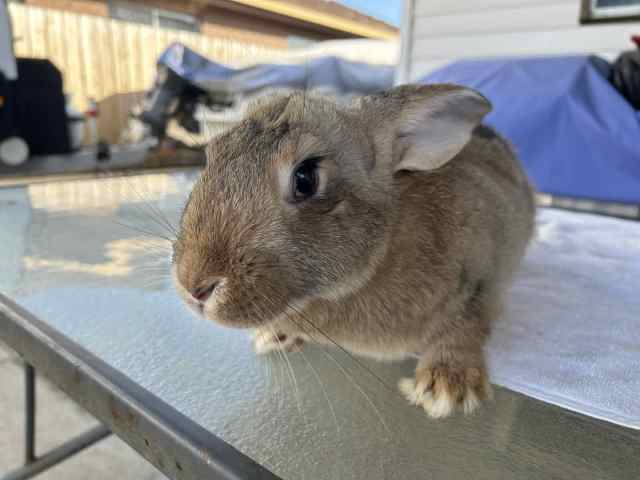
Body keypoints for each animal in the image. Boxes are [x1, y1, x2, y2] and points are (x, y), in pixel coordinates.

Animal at [172, 84, 536, 418]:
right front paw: (273, 335)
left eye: (306, 178)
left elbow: (468, 322)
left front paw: (446, 387)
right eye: (212, 156)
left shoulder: (486, 274)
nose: (193, 286)